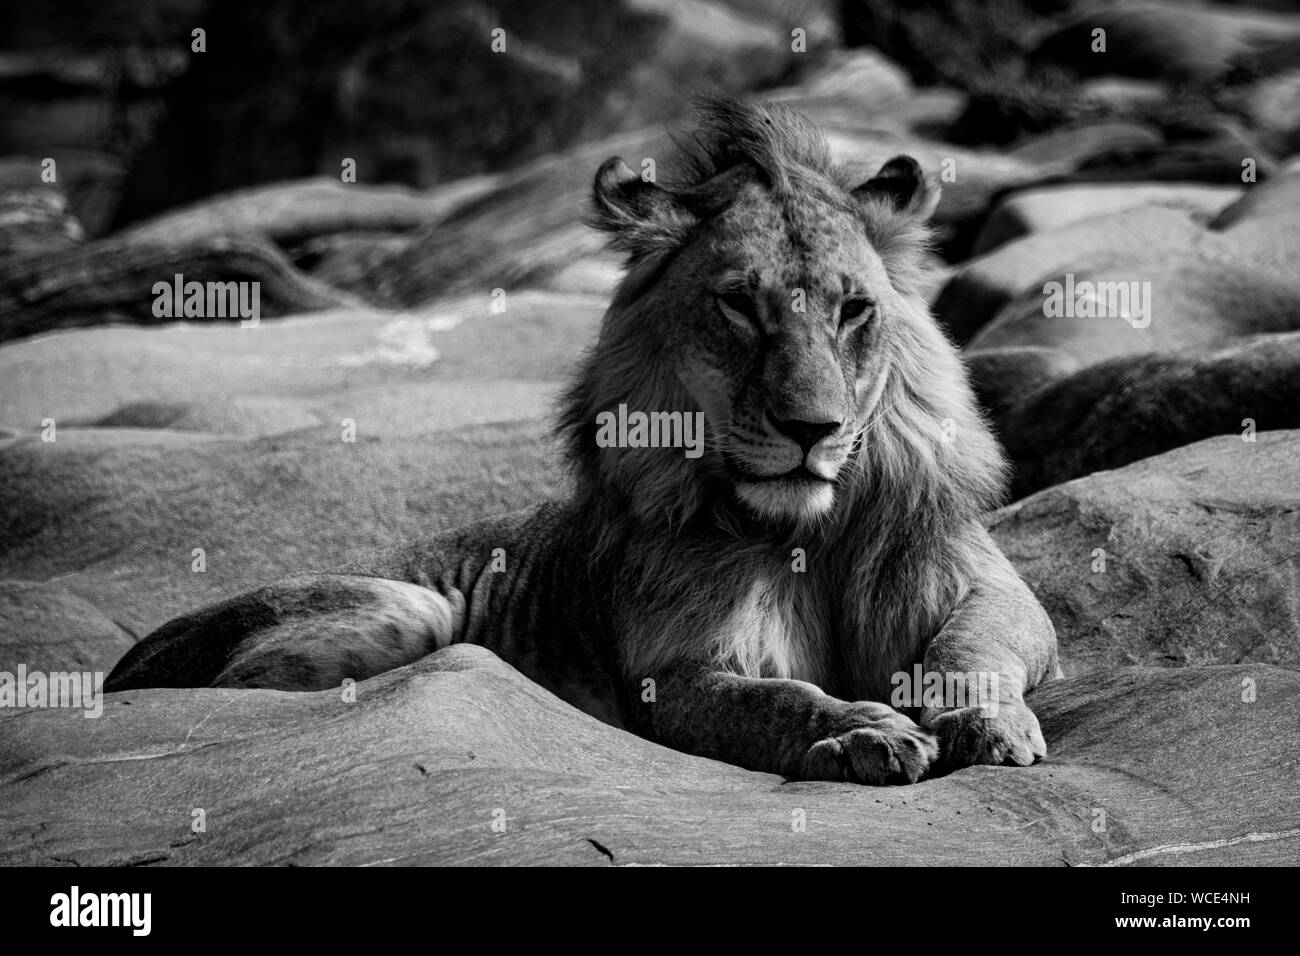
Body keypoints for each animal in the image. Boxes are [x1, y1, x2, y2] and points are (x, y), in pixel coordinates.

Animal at [107, 99, 1061, 784]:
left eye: (854, 309)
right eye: (739, 307)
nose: (813, 430)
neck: (807, 534)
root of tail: (122, 663)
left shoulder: (989, 589)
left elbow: (967, 653)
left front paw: (985, 723)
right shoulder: (673, 672)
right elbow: (779, 700)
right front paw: (863, 730)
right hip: (411, 606)